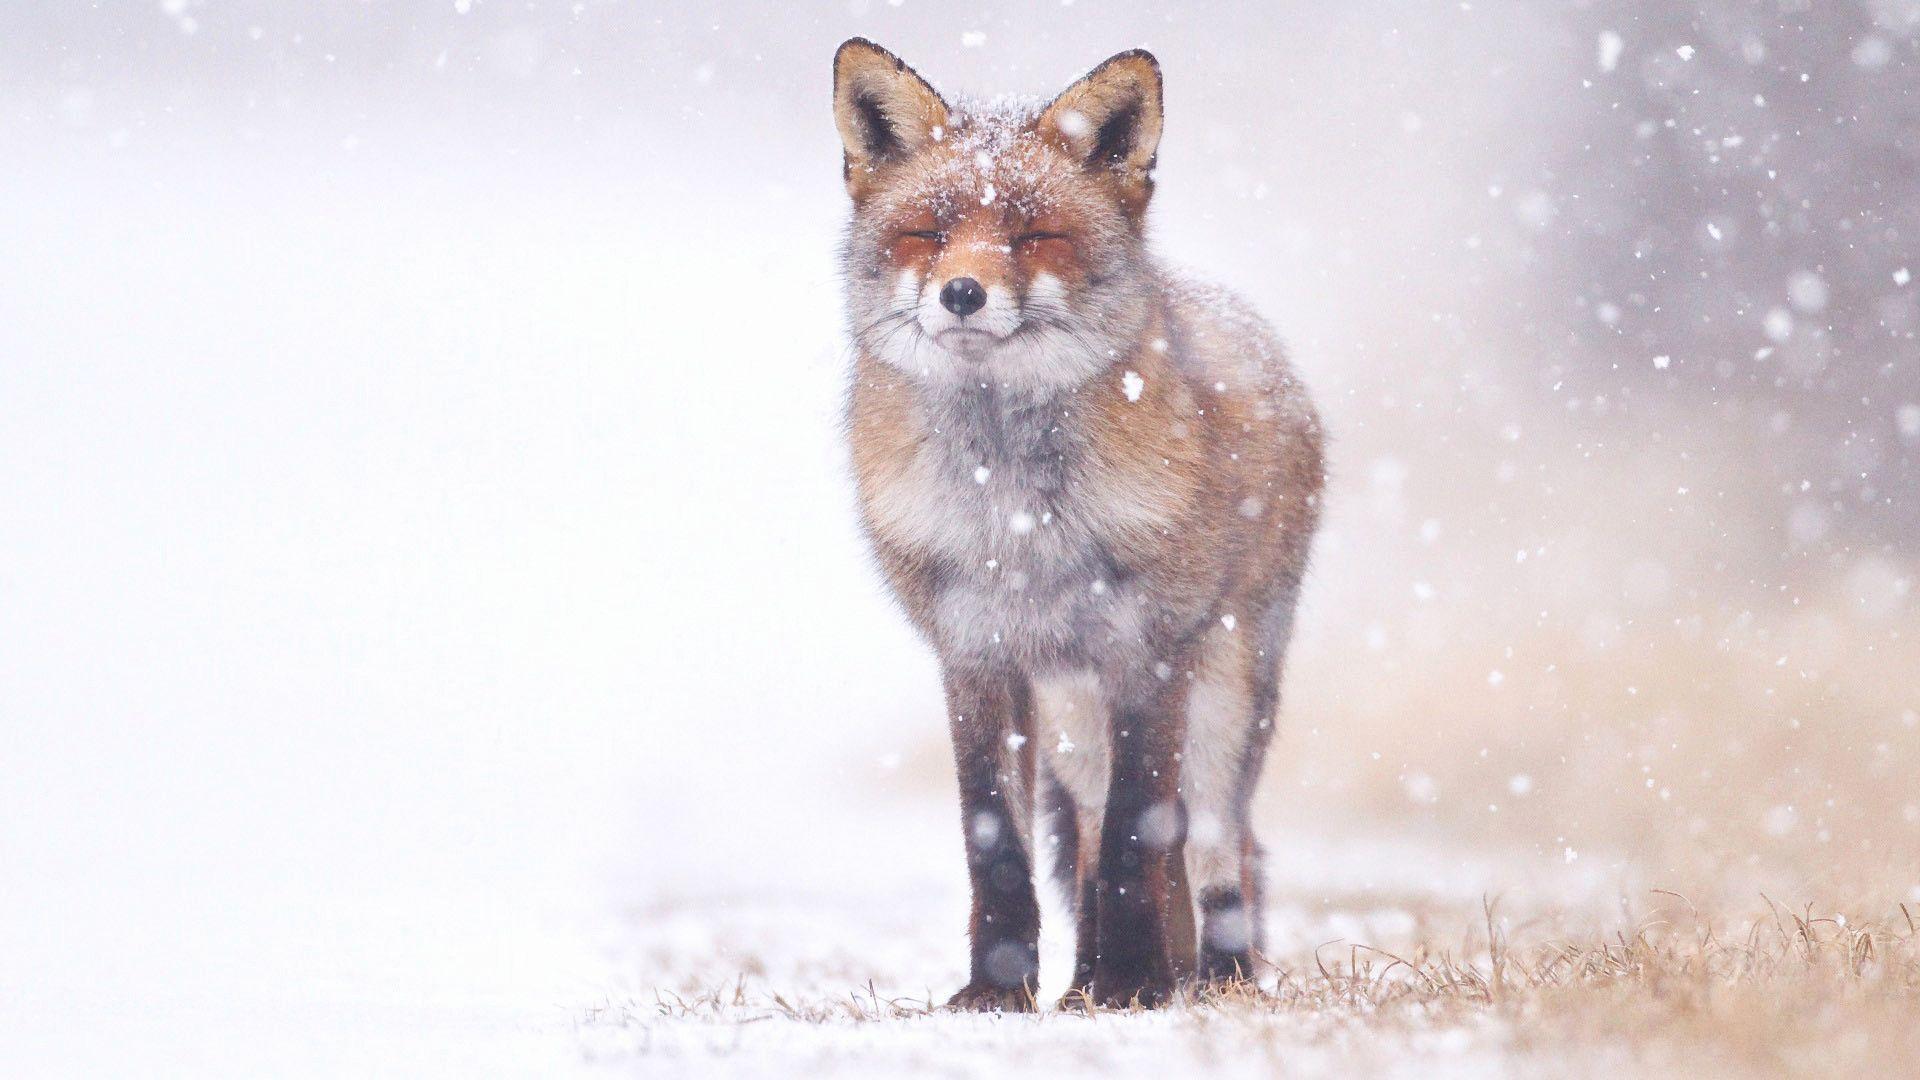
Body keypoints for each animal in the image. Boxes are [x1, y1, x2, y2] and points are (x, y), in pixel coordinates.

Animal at [834, 39, 1325, 1011]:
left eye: (1033, 237)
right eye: (929, 234)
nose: (961, 292)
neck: (1015, 518)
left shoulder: (1147, 652)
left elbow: (1144, 836)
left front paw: (1138, 986)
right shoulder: (975, 656)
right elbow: (999, 843)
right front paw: (999, 993)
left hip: (1224, 693)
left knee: (1217, 847)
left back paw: (1209, 978)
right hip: (1070, 716)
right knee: (1094, 836)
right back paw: (1087, 980)